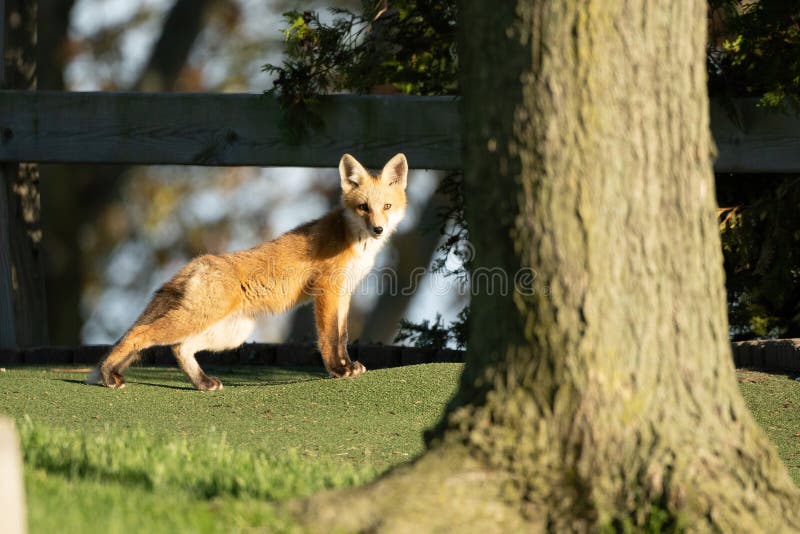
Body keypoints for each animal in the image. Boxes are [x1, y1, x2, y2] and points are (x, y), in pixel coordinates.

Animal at [86, 153, 408, 390]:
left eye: (386, 206)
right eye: (363, 207)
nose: (378, 230)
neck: (354, 242)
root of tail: (197, 262)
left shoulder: (345, 292)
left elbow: (341, 335)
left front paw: (348, 365)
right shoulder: (327, 290)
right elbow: (328, 338)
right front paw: (337, 370)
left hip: (229, 332)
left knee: (180, 348)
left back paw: (202, 383)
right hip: (200, 319)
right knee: (139, 333)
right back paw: (107, 373)